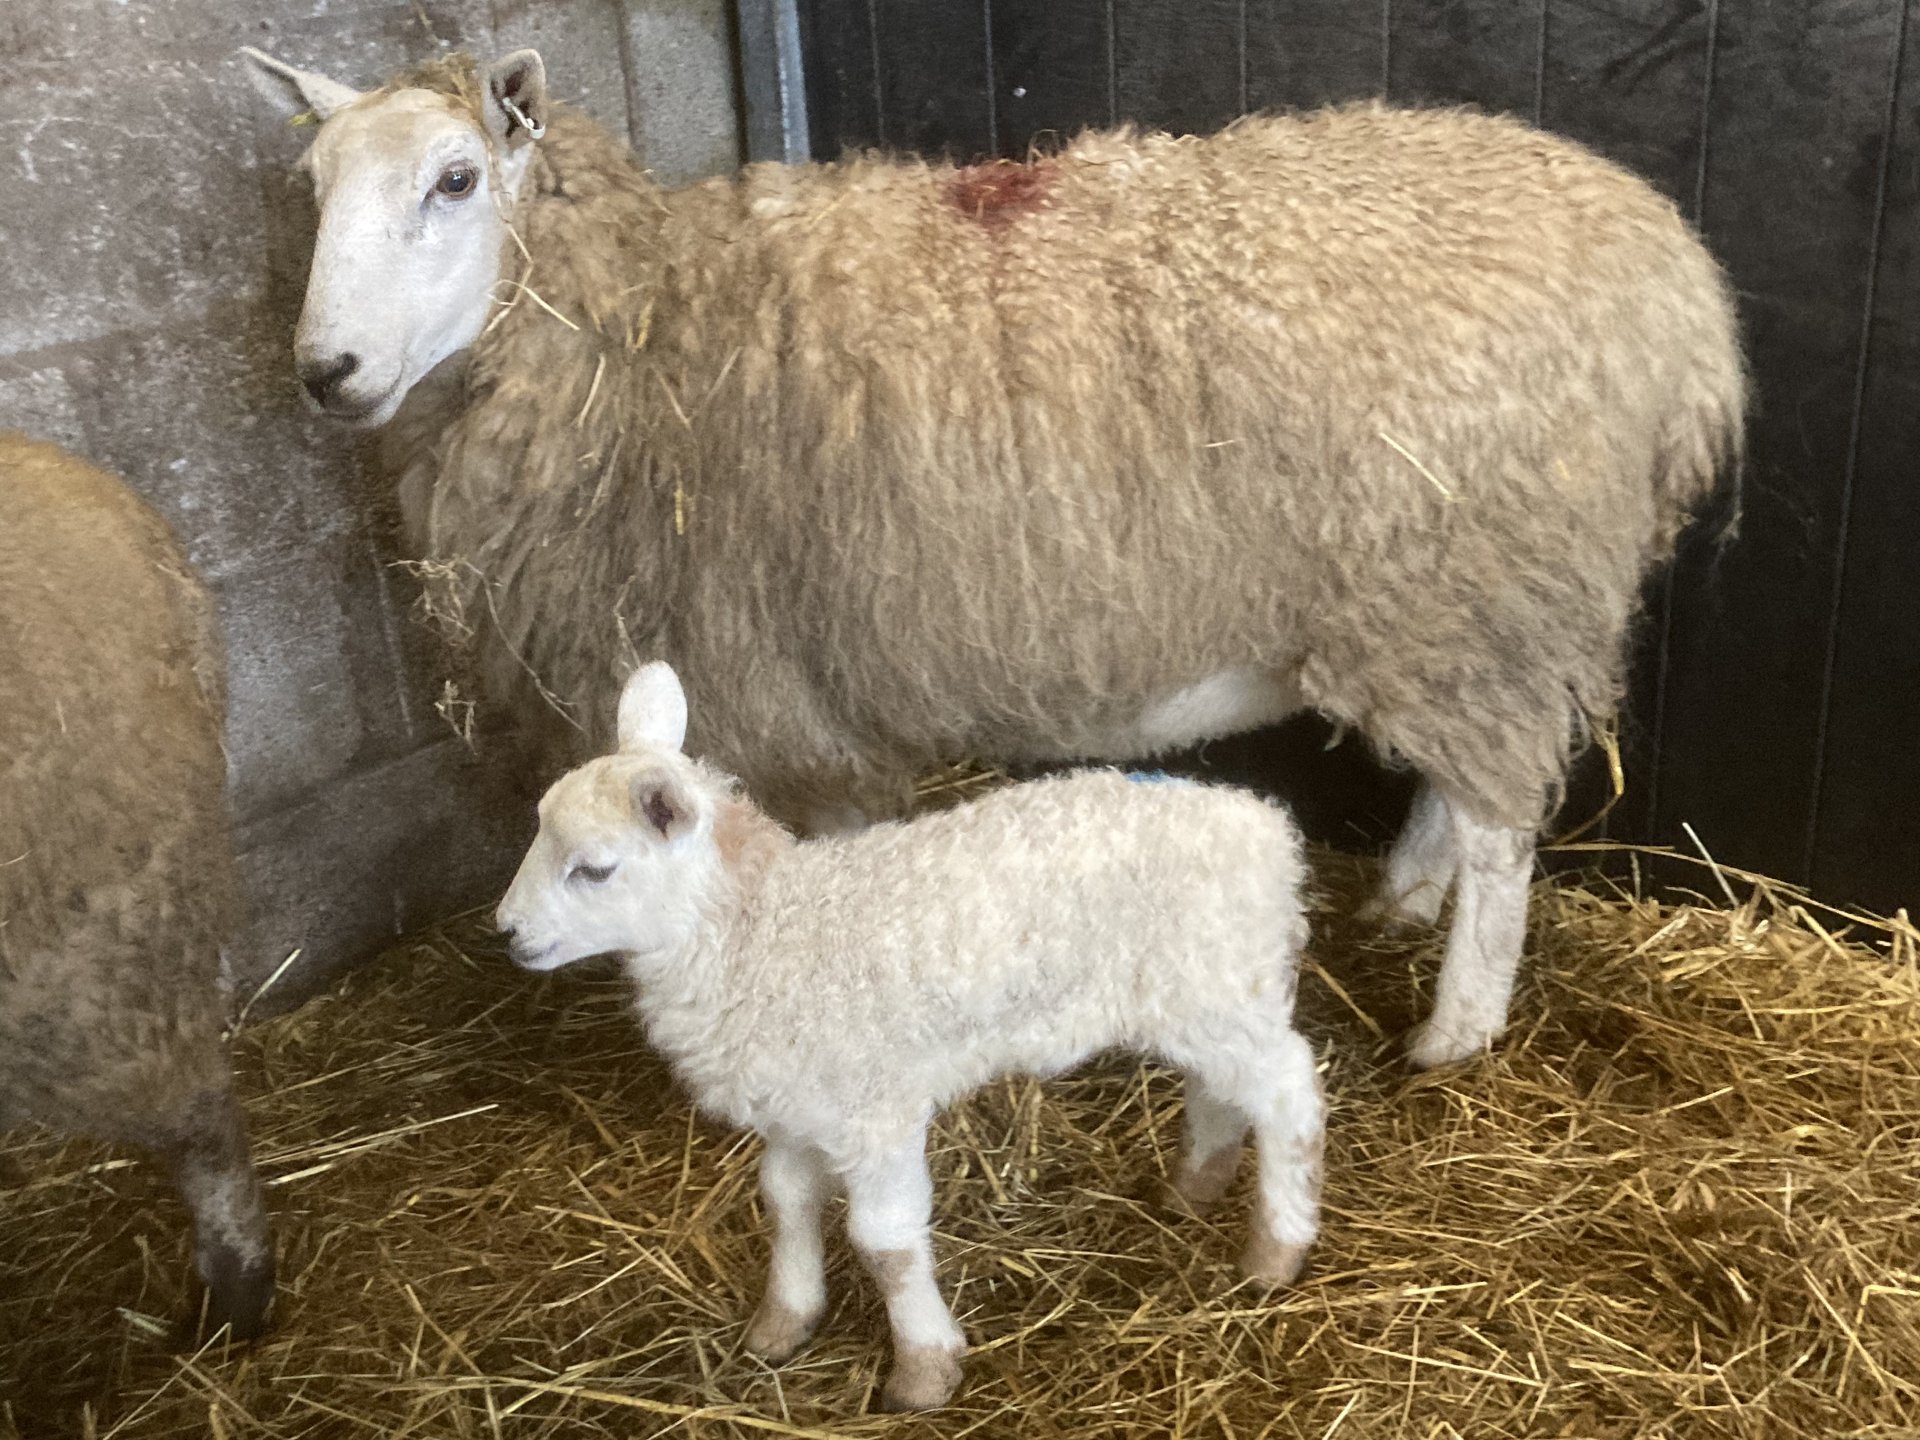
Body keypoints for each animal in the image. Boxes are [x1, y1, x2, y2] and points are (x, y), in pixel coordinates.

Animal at [242, 48, 1748, 1068]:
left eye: (453, 181)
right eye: (309, 189)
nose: (327, 373)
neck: (640, 334)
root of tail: (1673, 279)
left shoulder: (775, 696)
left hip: (1482, 583)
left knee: (1501, 830)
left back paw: (1456, 1028)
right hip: (1458, 606)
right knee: (1463, 786)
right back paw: (1401, 899)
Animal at [495, 661, 1325, 1410]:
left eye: (595, 869)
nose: (506, 932)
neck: (763, 932)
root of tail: (1265, 824)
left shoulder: (876, 1113)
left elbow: (885, 1244)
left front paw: (923, 1368)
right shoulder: (793, 1105)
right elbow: (785, 1200)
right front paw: (782, 1323)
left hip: (1217, 984)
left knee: (1290, 1092)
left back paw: (1275, 1251)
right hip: (1203, 989)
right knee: (1221, 1087)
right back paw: (1195, 1186)